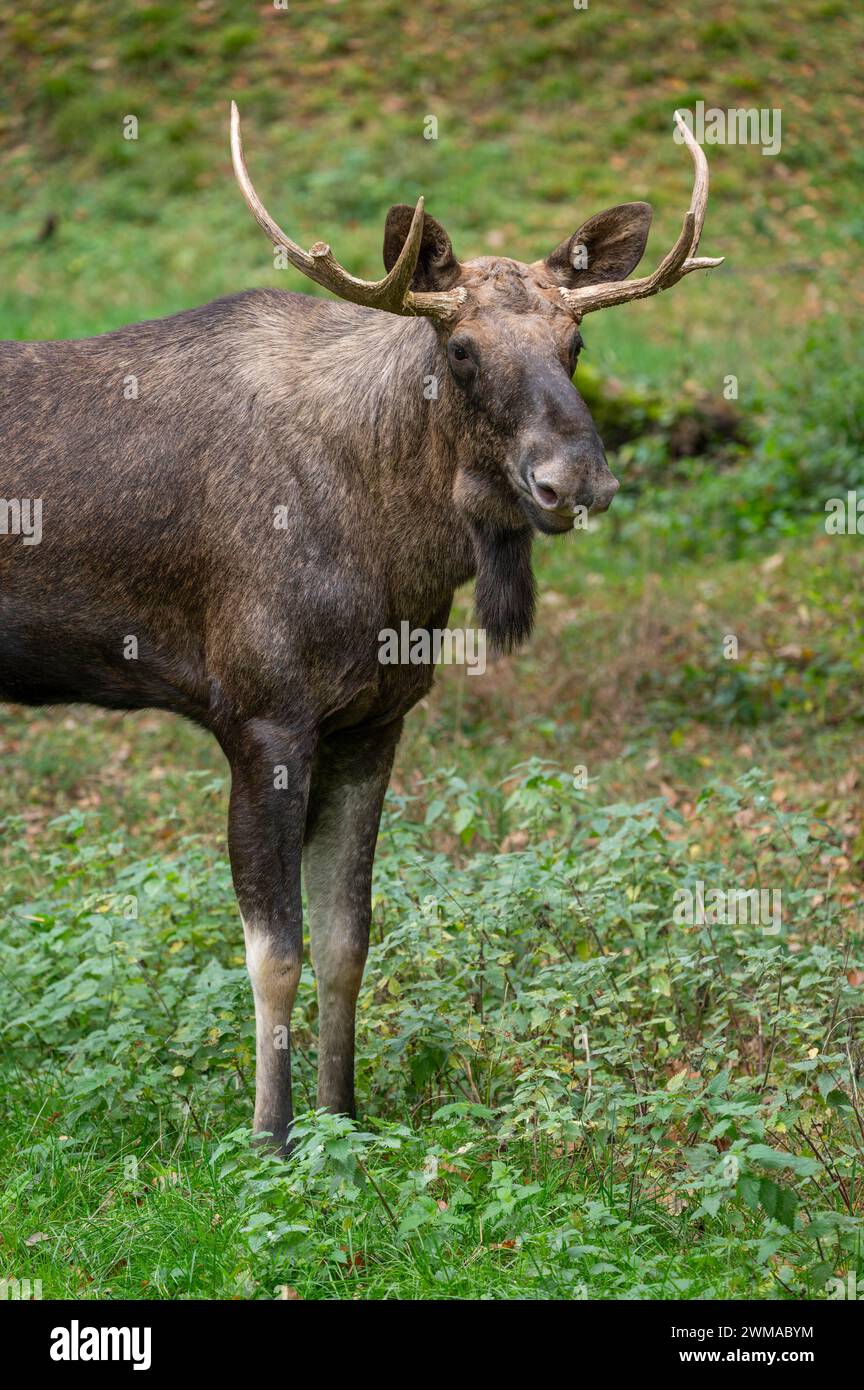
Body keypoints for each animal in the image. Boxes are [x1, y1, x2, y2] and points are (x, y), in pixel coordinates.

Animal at [0, 107, 722, 1151]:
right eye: (460, 351)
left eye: (577, 341)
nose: (575, 483)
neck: (398, 561)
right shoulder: (261, 717)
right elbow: (275, 950)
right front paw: (270, 1136)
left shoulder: (376, 722)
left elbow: (350, 938)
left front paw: (345, 1116)